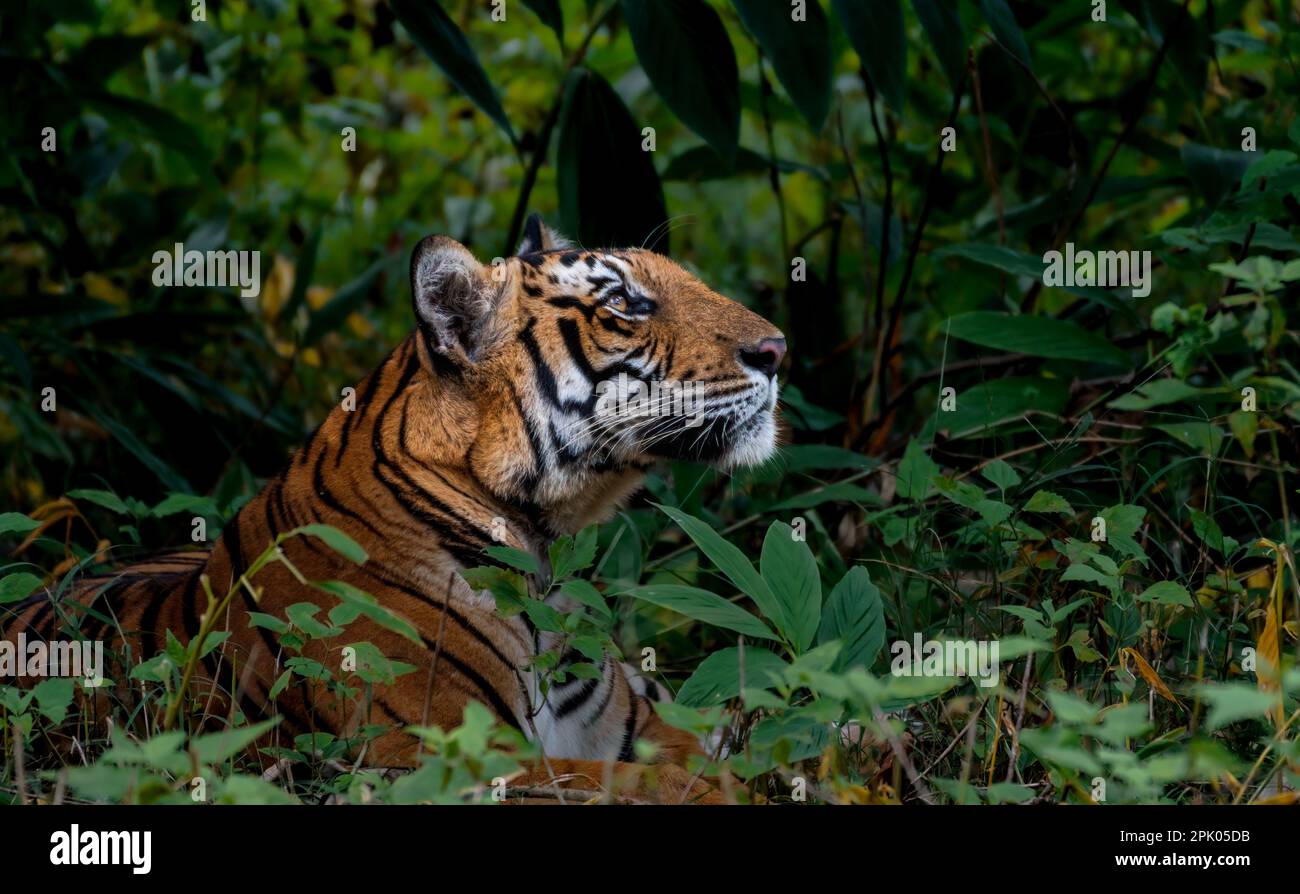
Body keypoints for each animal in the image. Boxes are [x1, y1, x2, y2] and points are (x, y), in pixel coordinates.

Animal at [2, 215, 788, 803]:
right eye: (624, 304)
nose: (779, 348)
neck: (542, 544)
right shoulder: (433, 760)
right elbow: (648, 783)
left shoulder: (644, 726)